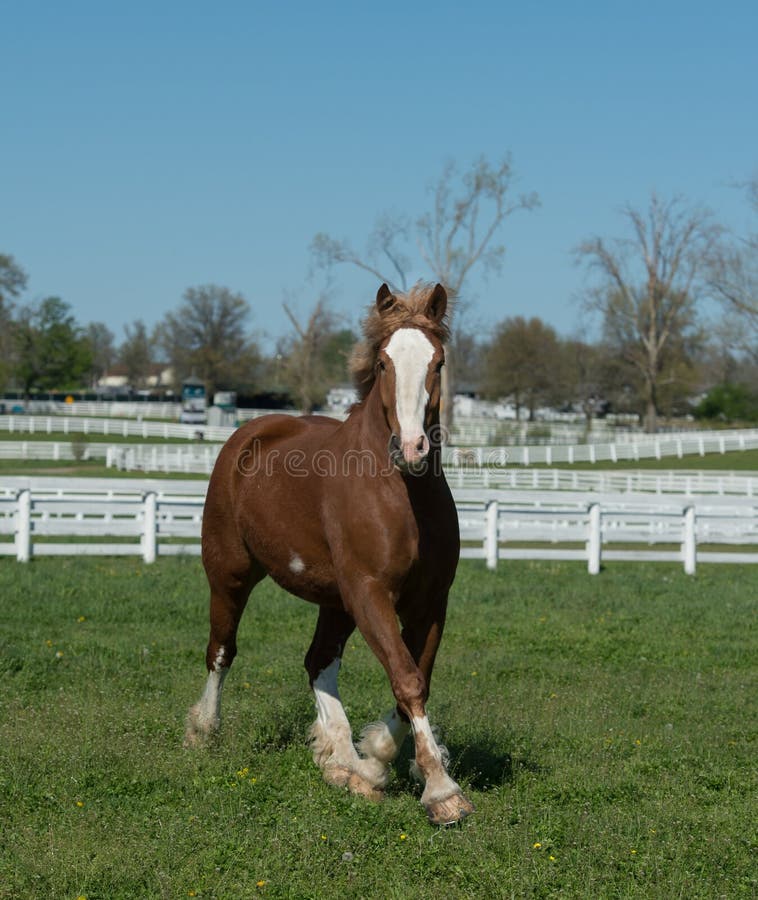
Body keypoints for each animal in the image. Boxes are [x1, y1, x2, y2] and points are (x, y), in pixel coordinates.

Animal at [185, 282, 474, 825]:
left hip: (334, 601)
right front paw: (442, 791)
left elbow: (415, 680)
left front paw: (376, 760)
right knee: (221, 651)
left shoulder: (431, 602)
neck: (402, 493)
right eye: (382, 363)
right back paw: (203, 732)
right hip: (229, 575)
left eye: (439, 362)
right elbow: (407, 679)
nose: (412, 448)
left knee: (317, 660)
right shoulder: (369, 592)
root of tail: (246, 435)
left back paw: (341, 761)